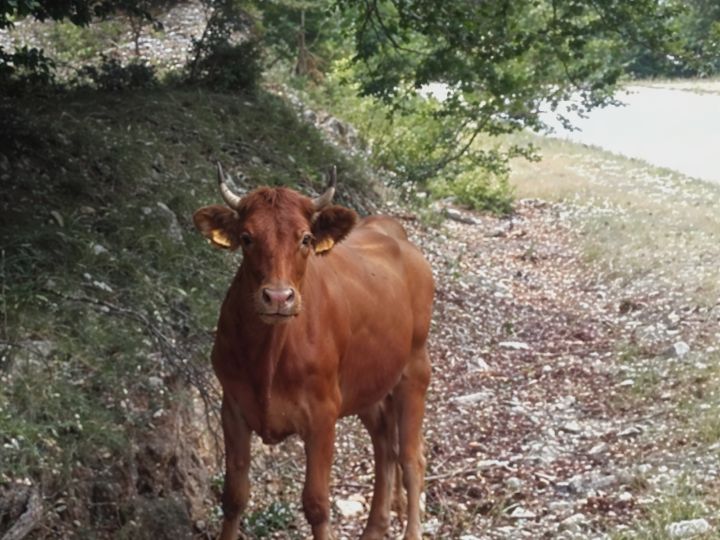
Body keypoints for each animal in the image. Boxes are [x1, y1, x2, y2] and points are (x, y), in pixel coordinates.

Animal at [192, 163, 434, 540]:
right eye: (246, 238)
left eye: (305, 238)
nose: (278, 297)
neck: (269, 358)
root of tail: (391, 231)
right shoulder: (232, 408)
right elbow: (233, 497)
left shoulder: (322, 415)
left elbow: (317, 504)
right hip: (368, 384)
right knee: (384, 444)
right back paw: (374, 528)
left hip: (415, 370)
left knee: (411, 459)